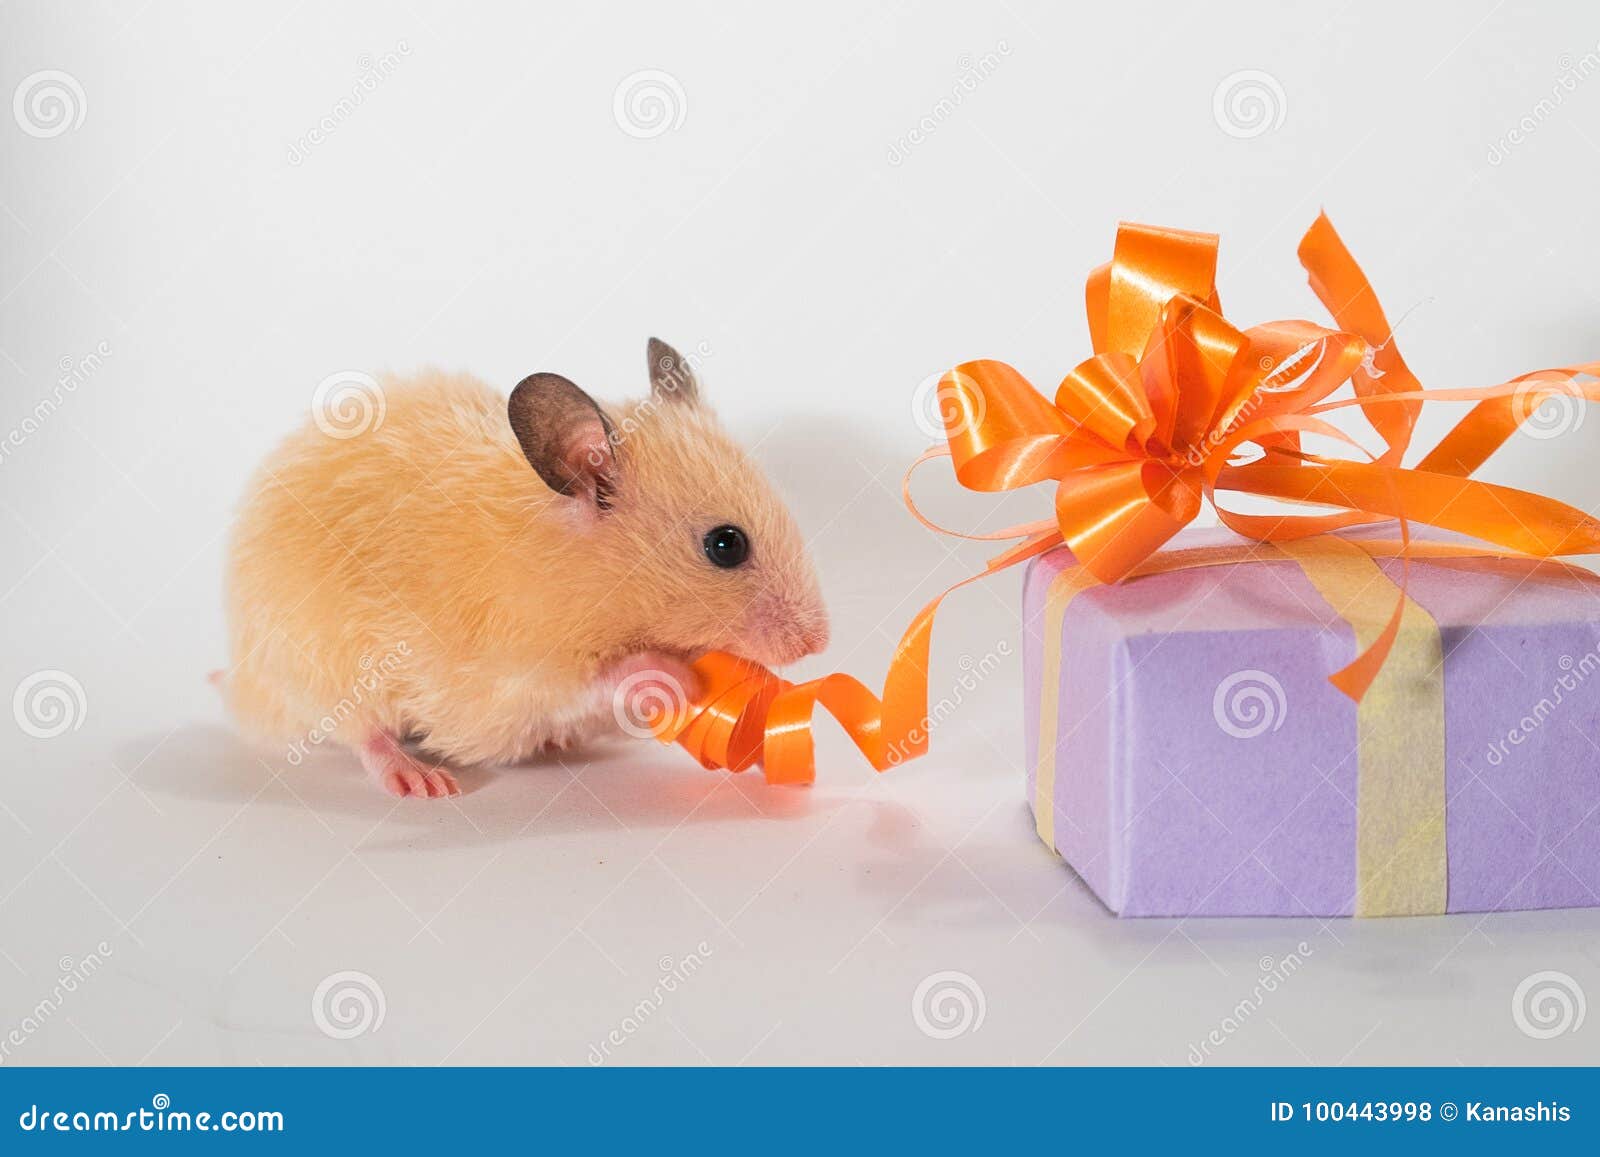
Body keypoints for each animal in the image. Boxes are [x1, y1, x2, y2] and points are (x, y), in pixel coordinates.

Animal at [220, 338, 829, 798]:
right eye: (725, 545)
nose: (817, 642)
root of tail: (245, 679)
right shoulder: (510, 672)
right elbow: (591, 680)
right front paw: (671, 674)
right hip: (320, 661)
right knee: (361, 732)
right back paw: (421, 781)